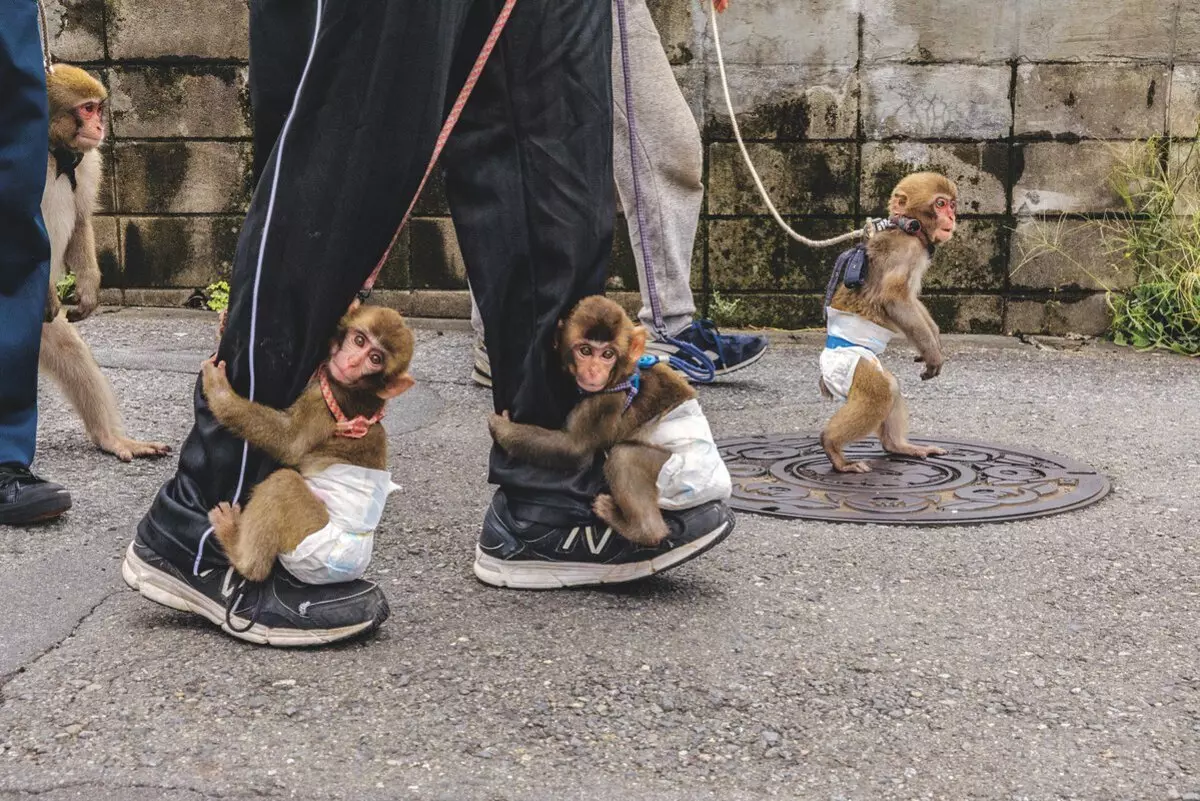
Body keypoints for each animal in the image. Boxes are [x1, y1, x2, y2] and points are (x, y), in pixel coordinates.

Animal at [39, 67, 171, 462]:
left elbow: (81, 221)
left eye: (98, 108)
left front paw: (87, 289)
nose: (100, 127)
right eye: (87, 109)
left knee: (70, 352)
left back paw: (111, 439)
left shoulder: (87, 163)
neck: (54, 154)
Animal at [199, 304, 415, 582]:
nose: (353, 362)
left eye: (375, 359)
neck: (362, 391)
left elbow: (289, 441)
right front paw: (222, 322)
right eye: (359, 340)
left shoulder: (321, 402)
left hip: (310, 536)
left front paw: (219, 392)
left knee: (283, 483)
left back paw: (240, 552)